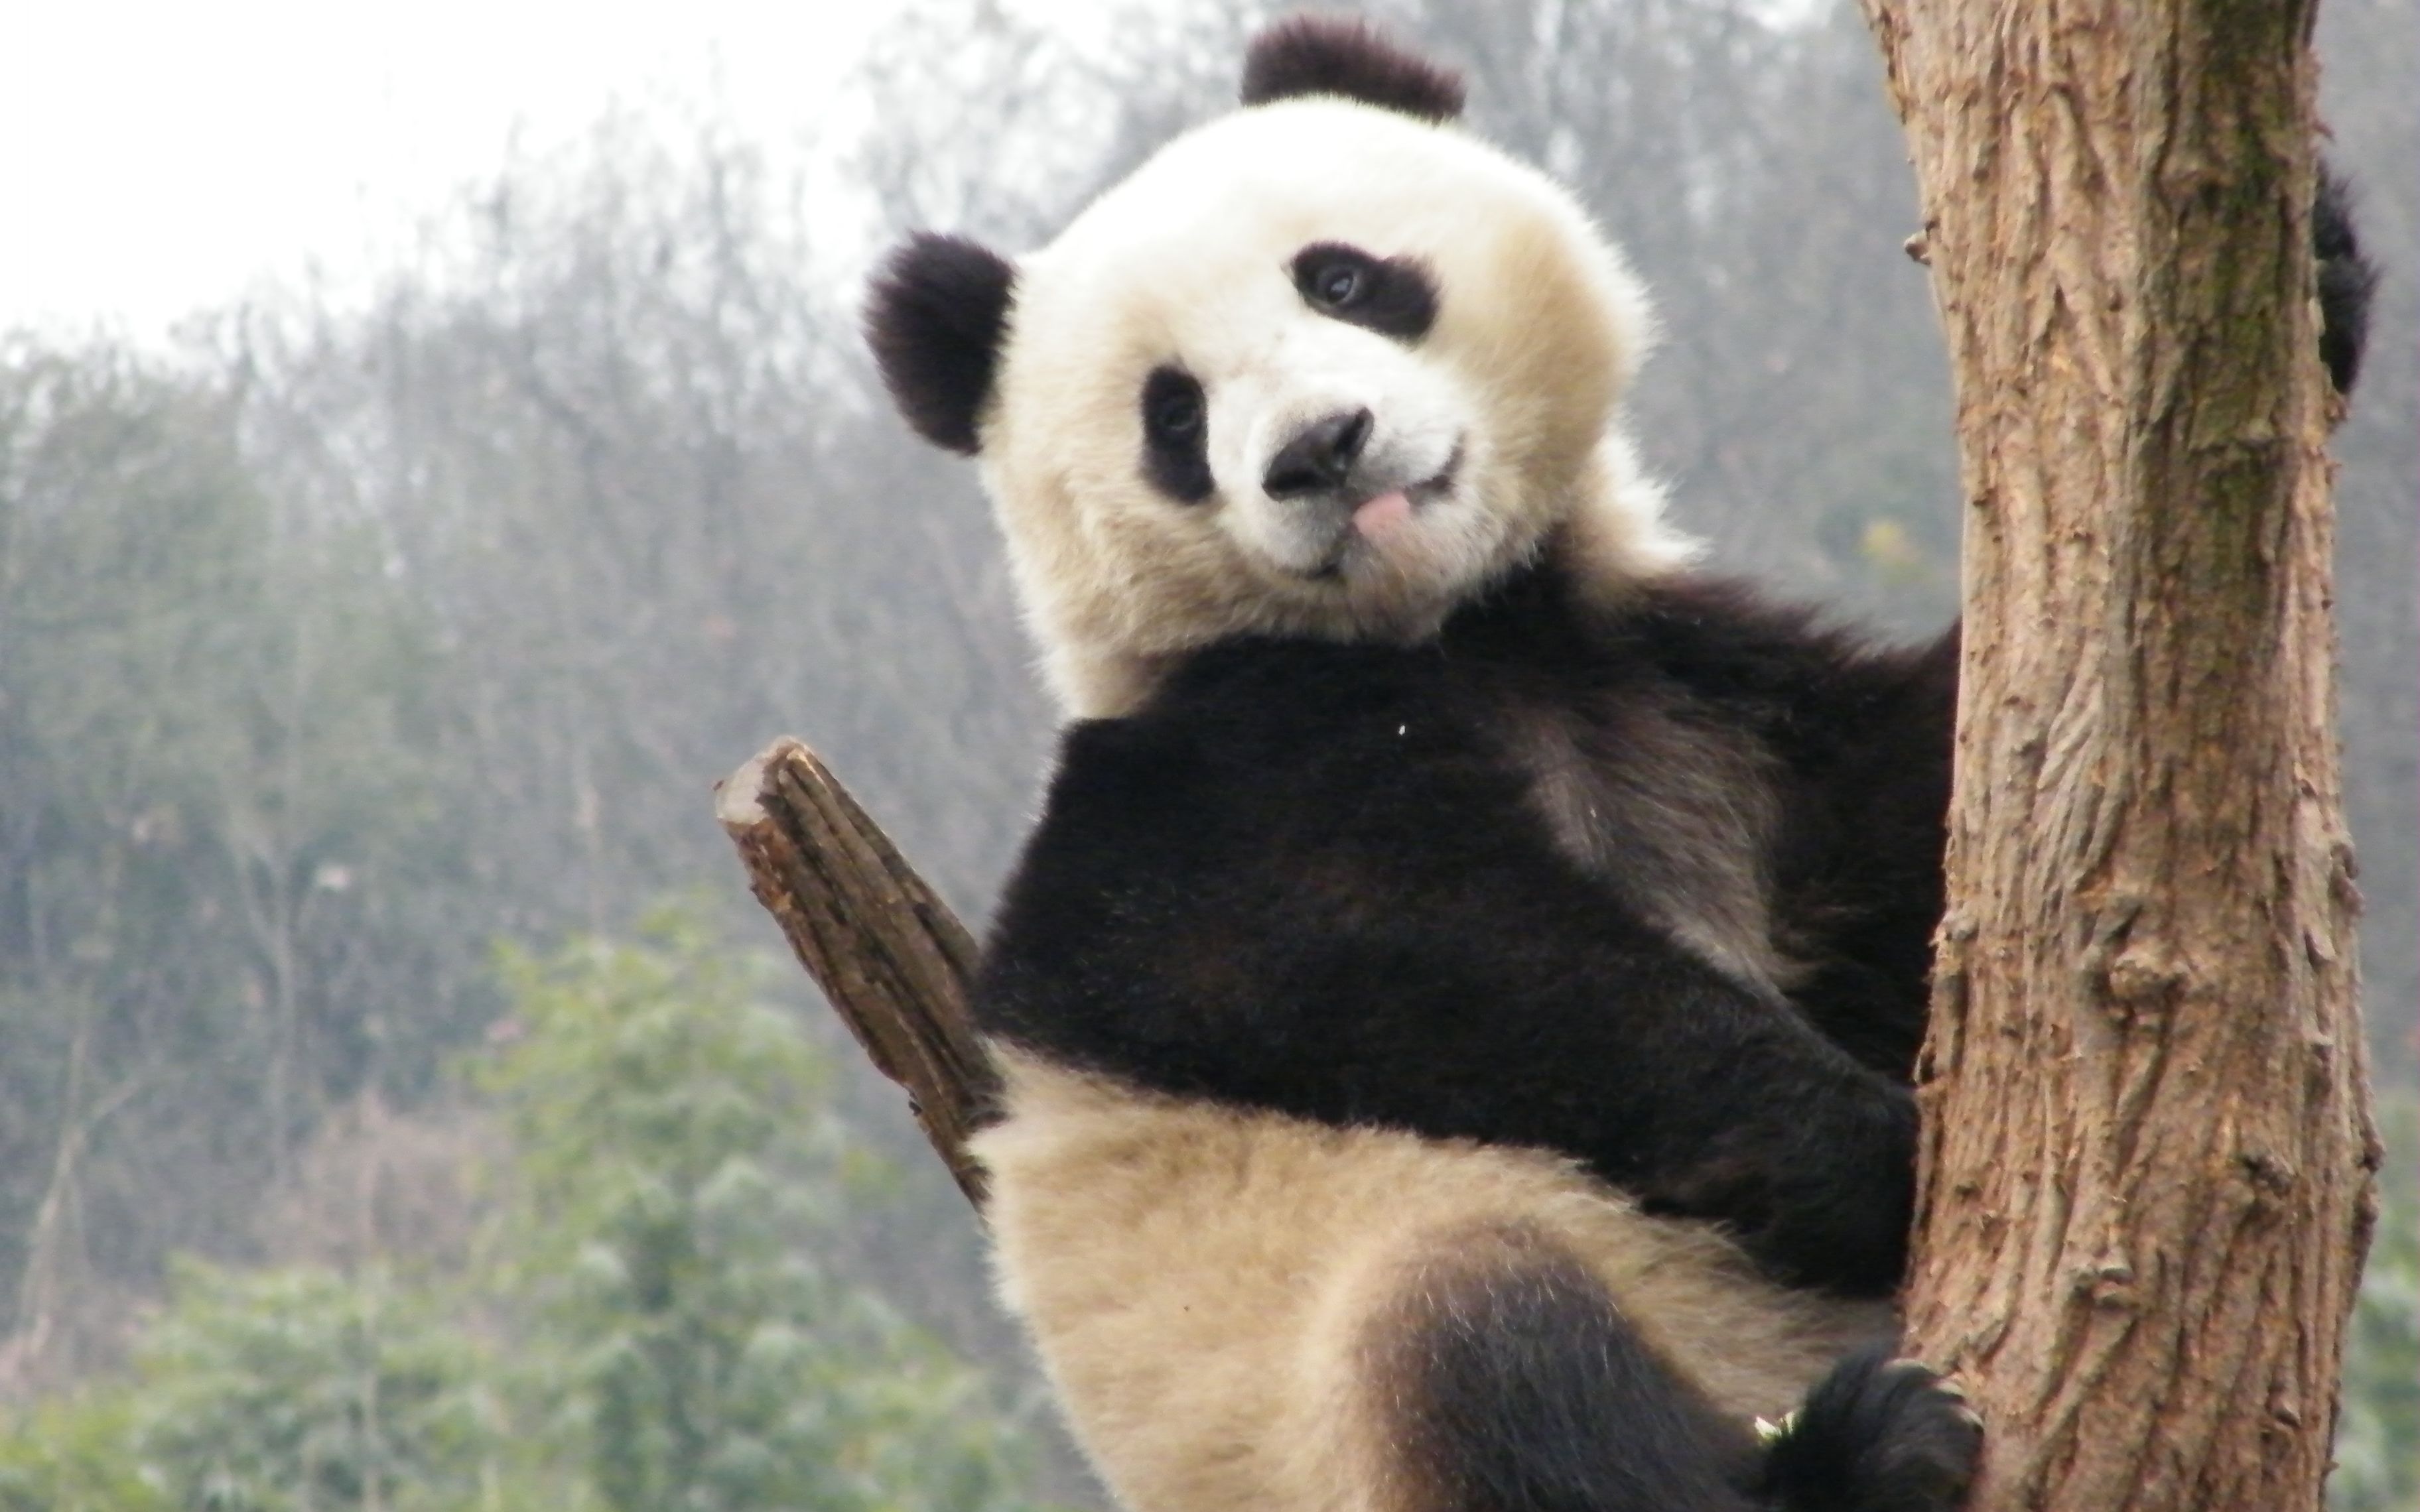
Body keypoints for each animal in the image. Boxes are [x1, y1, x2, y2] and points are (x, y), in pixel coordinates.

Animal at [863, 17, 2373, 1512]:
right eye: (1172, 417)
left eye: (1343, 278)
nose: (1317, 451)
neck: (1468, 629)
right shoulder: (1195, 779)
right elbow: (1401, 958)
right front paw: (1872, 1150)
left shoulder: (1697, 696)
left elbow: (1925, 836)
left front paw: (2312, 276)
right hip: (1351, 1394)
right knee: (1492, 1350)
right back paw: (1858, 1455)